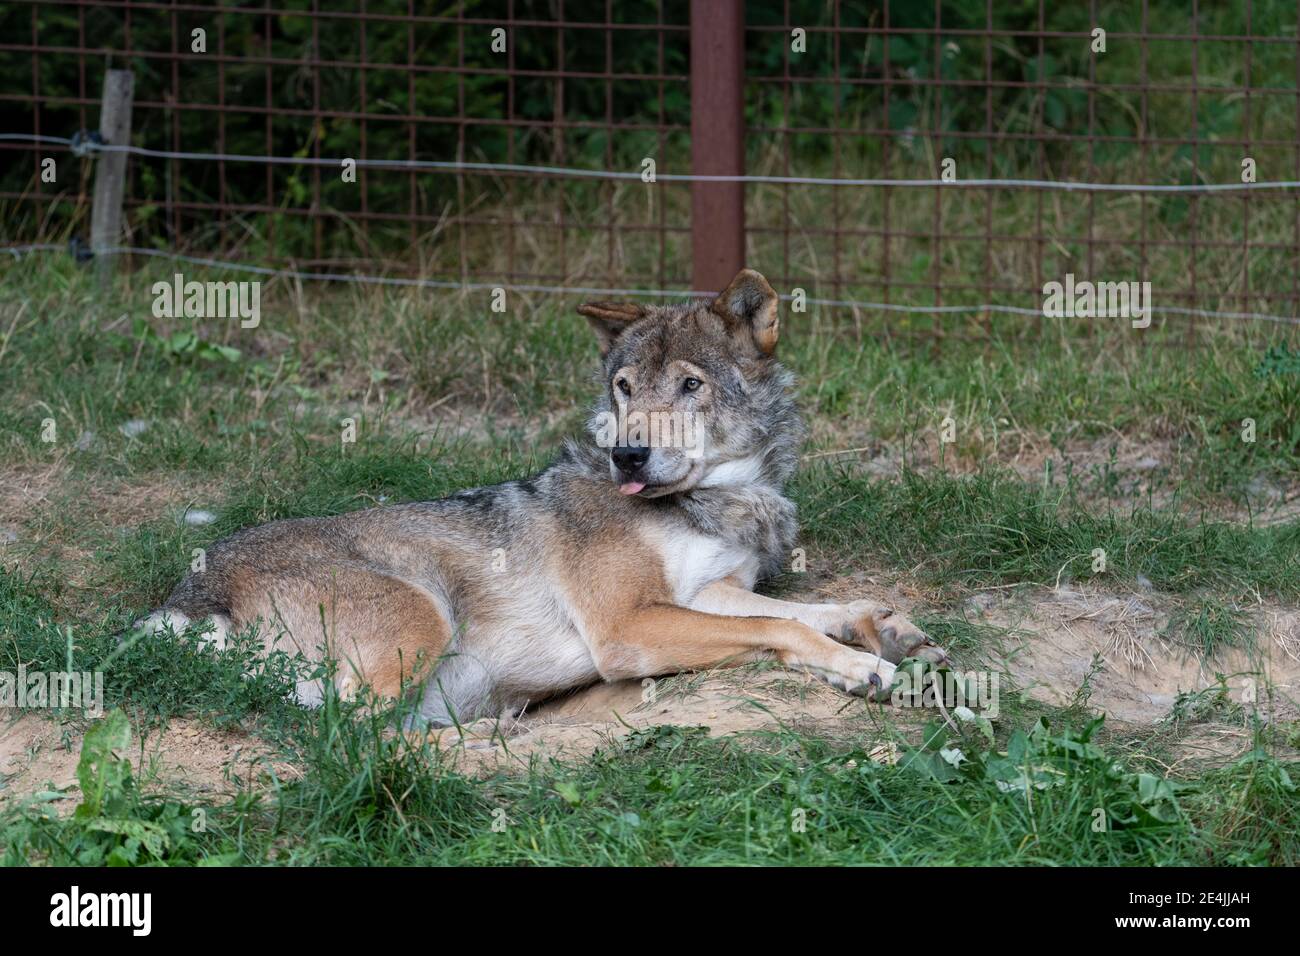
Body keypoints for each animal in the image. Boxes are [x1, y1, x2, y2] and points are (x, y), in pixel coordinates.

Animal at [138, 269, 947, 725]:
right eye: (624, 388)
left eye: (691, 384)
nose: (627, 453)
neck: (720, 498)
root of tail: (191, 590)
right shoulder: (626, 625)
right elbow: (783, 626)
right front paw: (867, 668)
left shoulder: (708, 592)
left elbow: (805, 611)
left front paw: (884, 628)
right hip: (423, 620)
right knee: (335, 731)